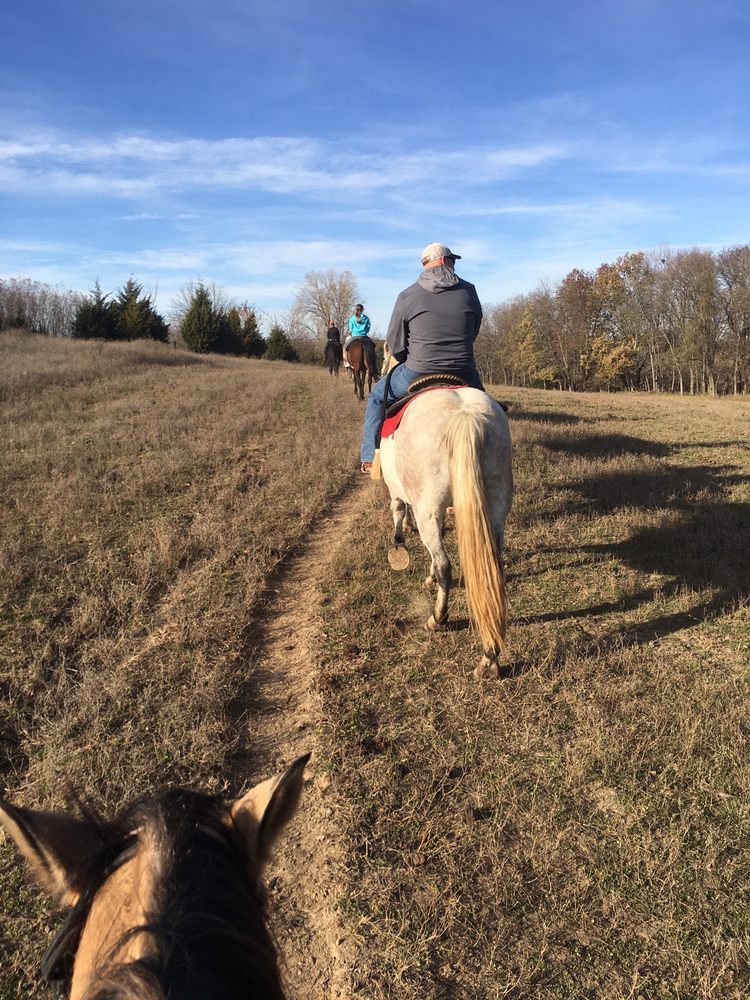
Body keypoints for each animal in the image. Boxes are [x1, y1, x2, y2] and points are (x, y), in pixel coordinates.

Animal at [380, 387, 512, 679]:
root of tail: (466, 416)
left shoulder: (401, 495)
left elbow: (398, 510)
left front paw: (399, 544)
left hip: (427, 508)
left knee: (444, 565)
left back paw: (437, 619)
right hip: (497, 503)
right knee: (492, 568)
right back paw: (490, 657)